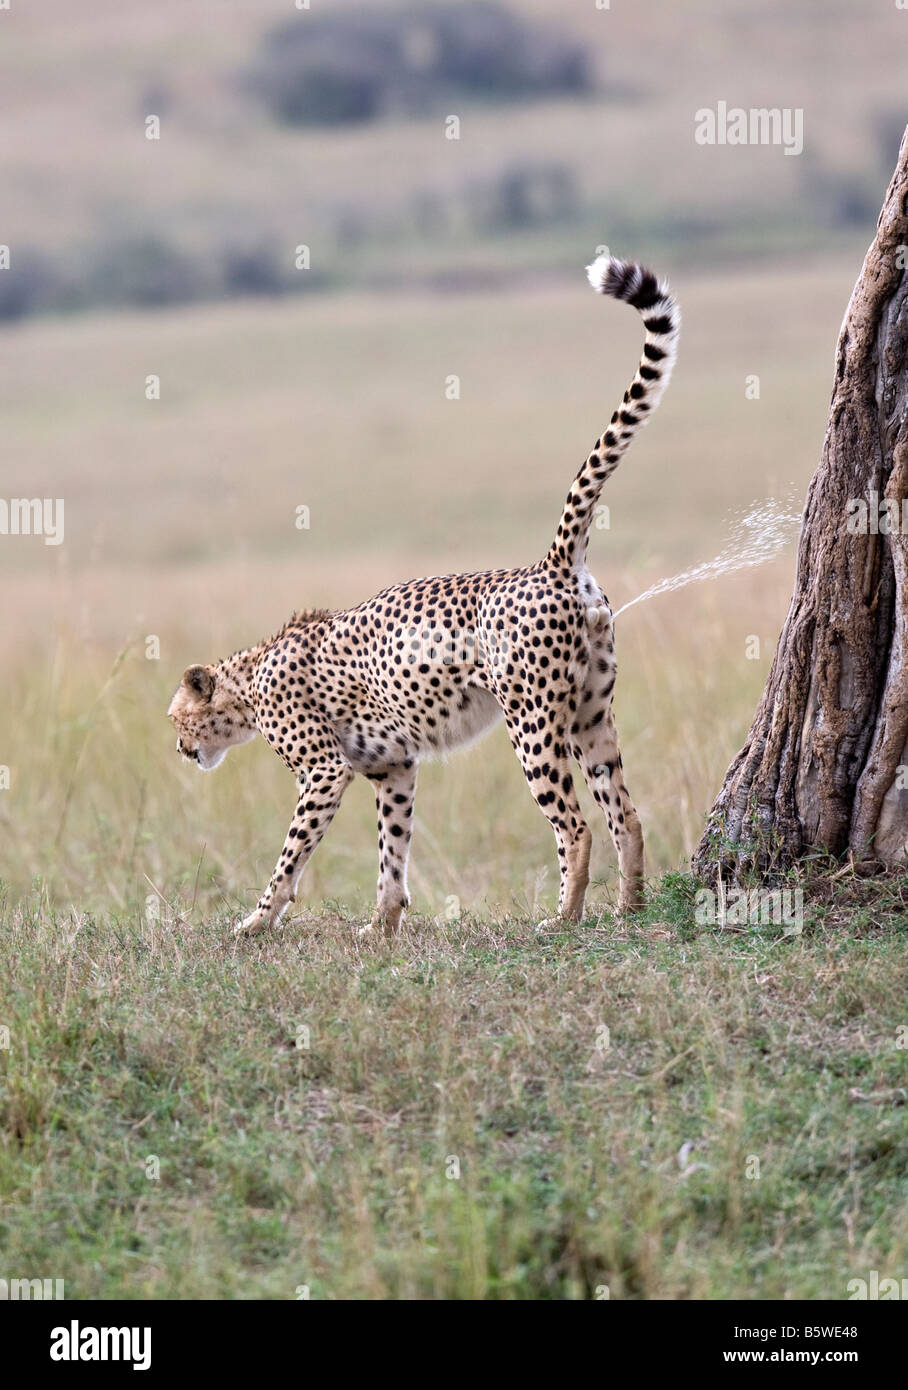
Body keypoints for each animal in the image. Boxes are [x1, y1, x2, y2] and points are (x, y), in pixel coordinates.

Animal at [167, 254, 680, 938]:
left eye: (176, 720)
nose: (180, 750)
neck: (250, 680)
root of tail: (548, 566)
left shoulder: (324, 772)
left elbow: (290, 856)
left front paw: (256, 921)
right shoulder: (393, 769)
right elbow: (392, 849)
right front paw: (381, 925)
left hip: (532, 724)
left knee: (574, 826)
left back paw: (564, 918)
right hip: (591, 714)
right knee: (626, 812)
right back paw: (629, 907)